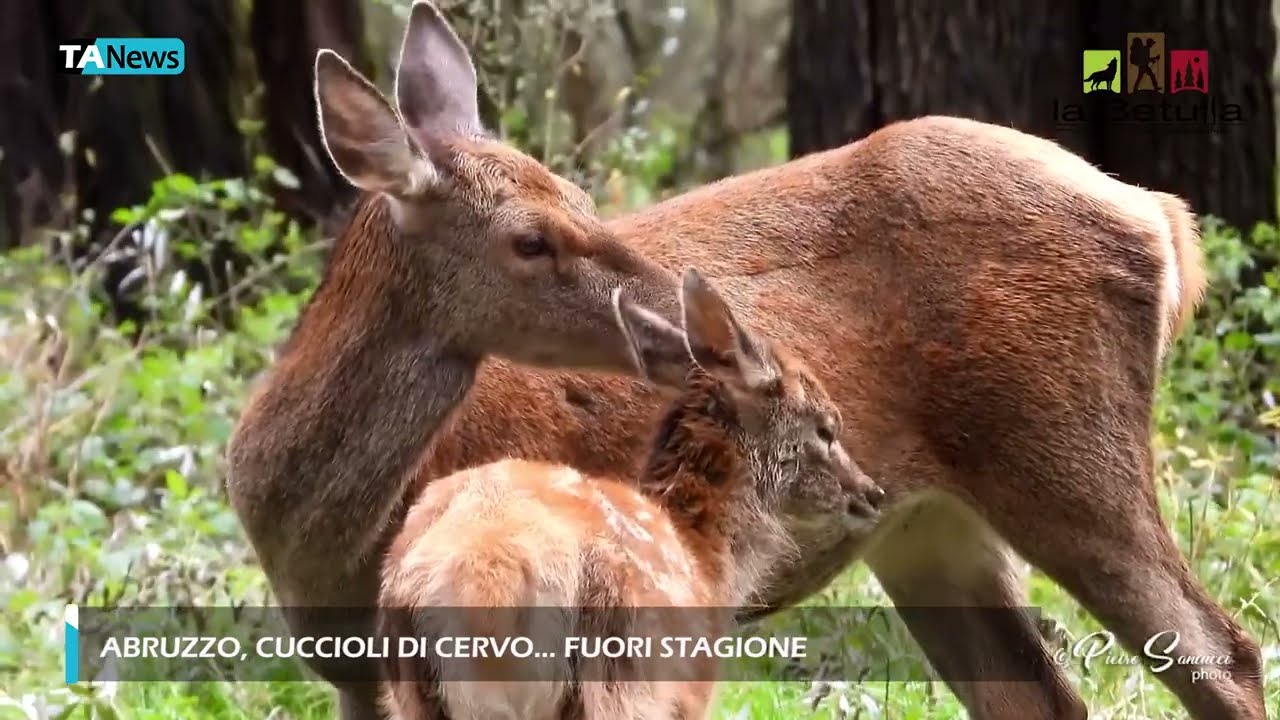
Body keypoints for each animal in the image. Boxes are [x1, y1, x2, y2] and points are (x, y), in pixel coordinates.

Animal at [376, 270, 888, 720]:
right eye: (826, 427)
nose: (872, 493)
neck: (706, 558)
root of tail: (487, 573)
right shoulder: (692, 690)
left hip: (409, 689)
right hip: (616, 680)